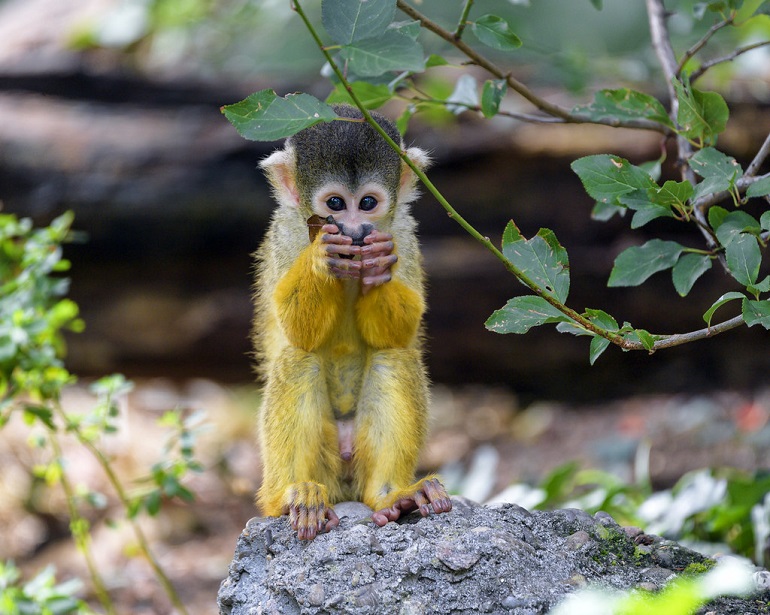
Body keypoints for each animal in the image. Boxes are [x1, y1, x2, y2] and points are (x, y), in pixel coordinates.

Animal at [253, 104, 452, 540]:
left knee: (394, 357)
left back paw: (394, 495)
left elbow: (396, 333)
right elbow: (299, 332)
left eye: (368, 202)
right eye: (335, 204)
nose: (358, 232)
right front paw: (320, 258)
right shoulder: (284, 233)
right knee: (297, 359)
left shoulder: (403, 234)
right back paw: (290, 497)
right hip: (324, 466)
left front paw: (376, 267)